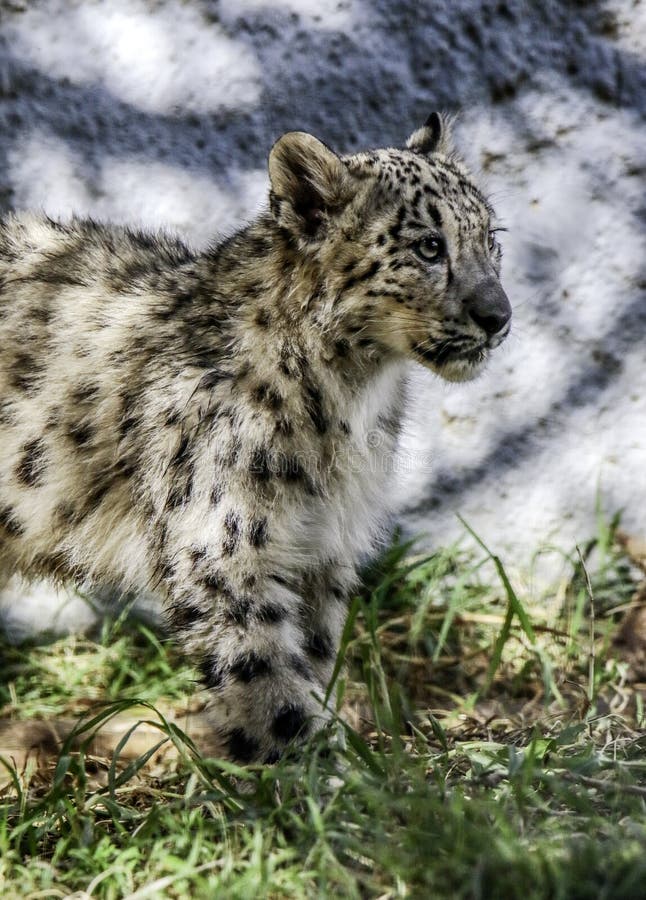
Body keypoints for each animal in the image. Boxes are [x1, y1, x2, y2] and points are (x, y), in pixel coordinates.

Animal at [0, 113, 511, 763]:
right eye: (429, 245)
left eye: (491, 237)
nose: (498, 316)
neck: (353, 401)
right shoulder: (223, 546)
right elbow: (266, 677)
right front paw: (317, 769)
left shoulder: (320, 545)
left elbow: (312, 655)